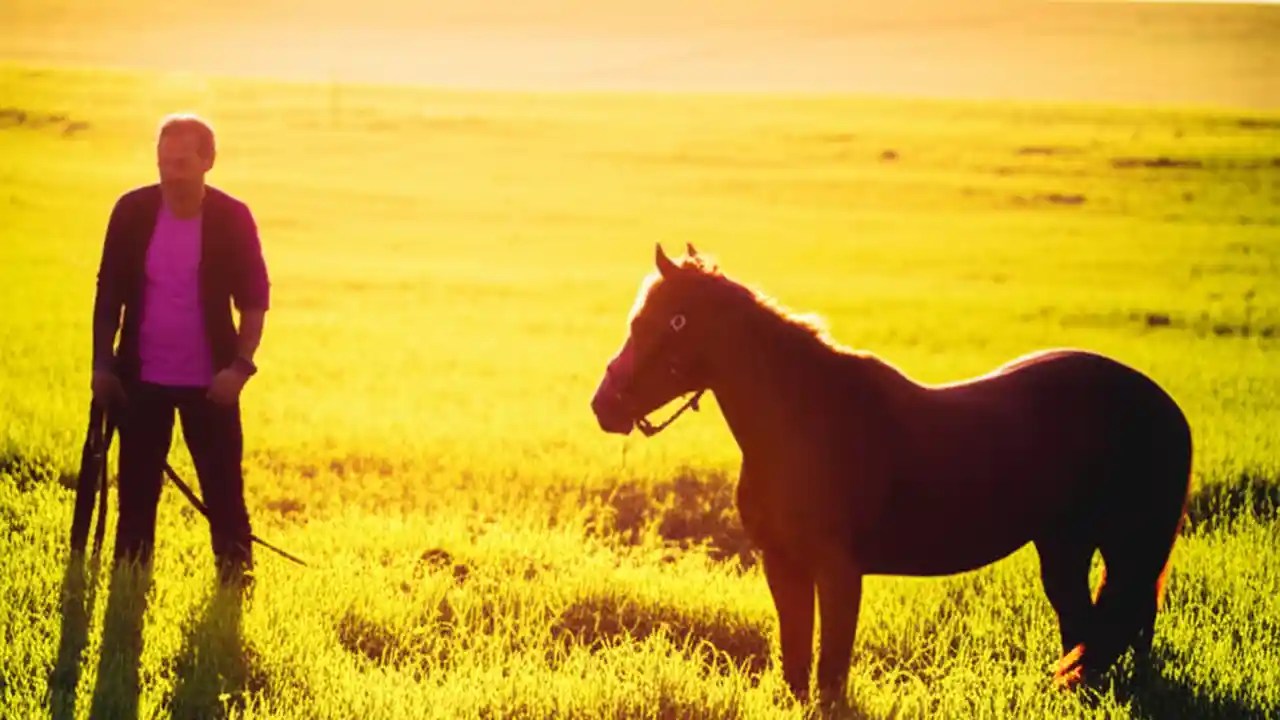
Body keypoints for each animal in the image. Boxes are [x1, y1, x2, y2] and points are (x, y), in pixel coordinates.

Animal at [590, 245, 1191, 702]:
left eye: (667, 322)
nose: (604, 406)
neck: (800, 424)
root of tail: (1166, 406)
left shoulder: (838, 571)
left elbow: (830, 669)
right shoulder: (783, 565)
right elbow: (797, 660)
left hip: (1126, 548)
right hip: (1067, 548)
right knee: (1093, 630)